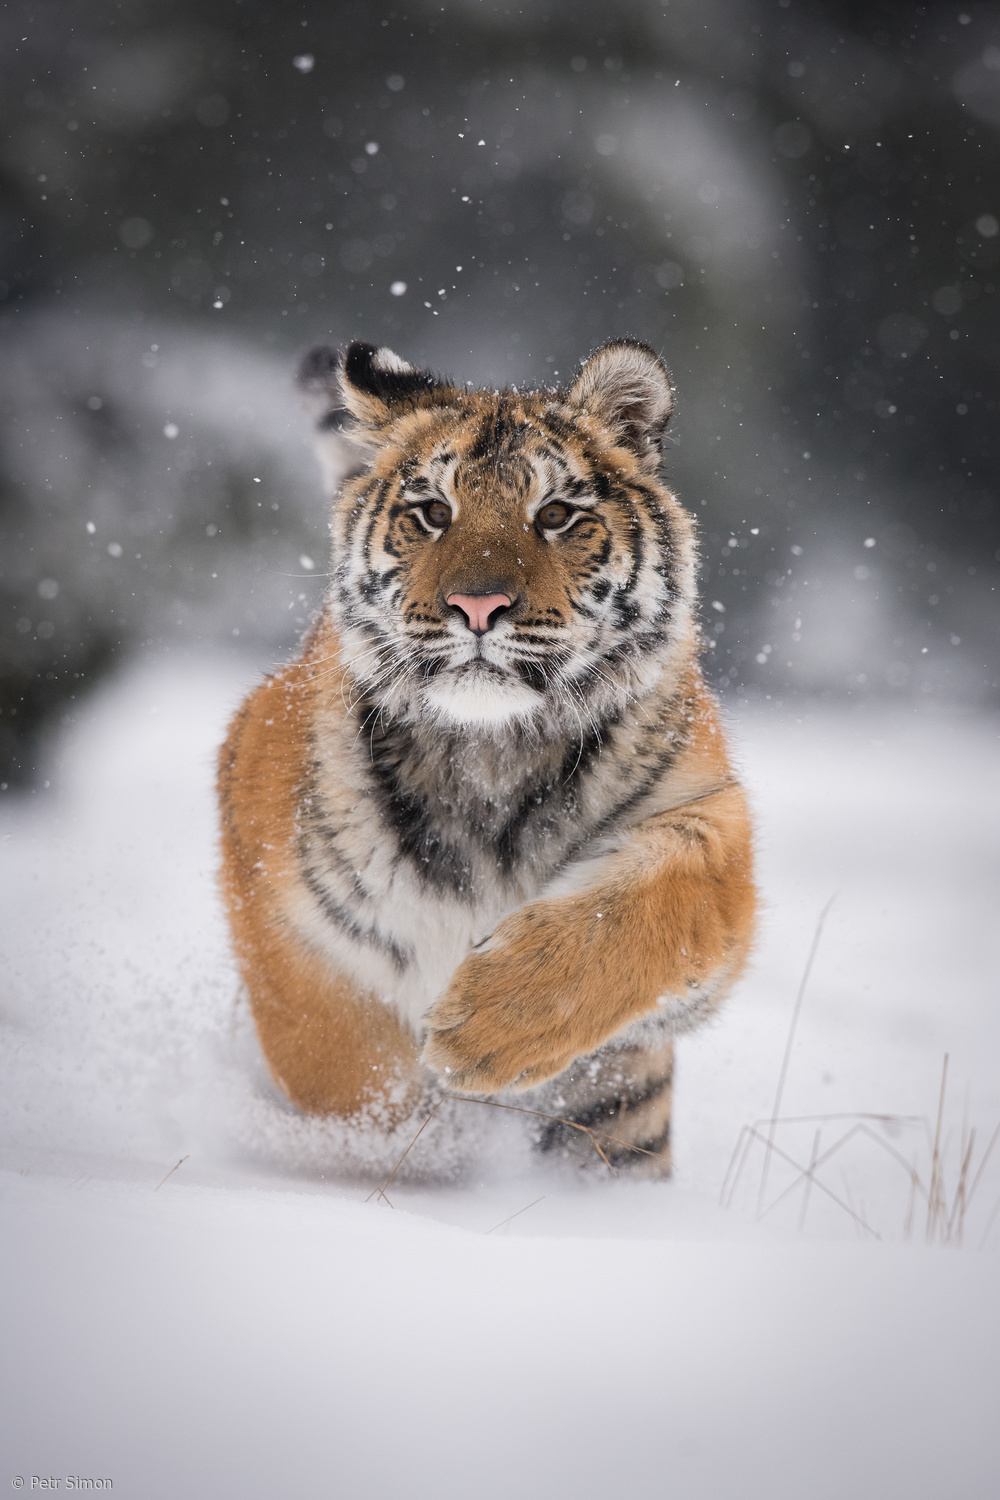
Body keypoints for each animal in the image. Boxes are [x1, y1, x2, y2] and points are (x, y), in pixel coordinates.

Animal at [217, 338, 756, 1177]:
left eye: (556, 515)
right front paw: (413, 1148)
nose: (476, 606)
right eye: (433, 513)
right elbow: (339, 1064)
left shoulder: (711, 817)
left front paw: (482, 1033)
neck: (491, 753)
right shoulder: (265, 864)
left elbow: (636, 910)